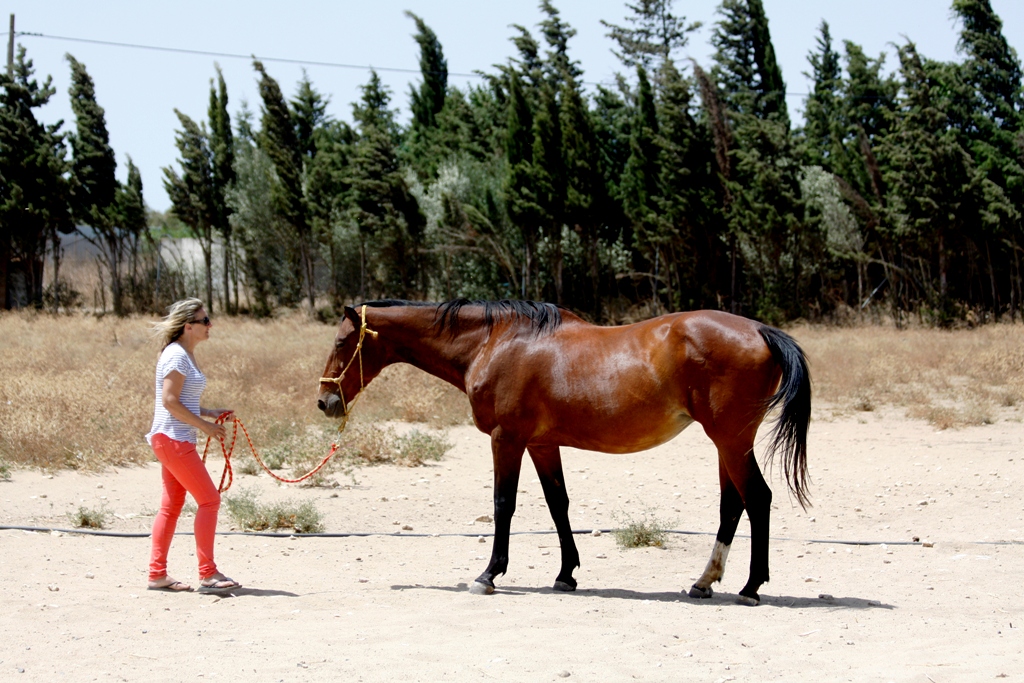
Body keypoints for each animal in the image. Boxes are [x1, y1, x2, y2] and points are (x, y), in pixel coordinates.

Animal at [317, 299, 811, 606]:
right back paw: (704, 581)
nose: (325, 402)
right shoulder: (541, 443)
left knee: (757, 499)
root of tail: (761, 331)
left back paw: (750, 587)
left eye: (341, 343)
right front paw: (566, 574)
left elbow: (503, 504)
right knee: (733, 506)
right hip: (727, 443)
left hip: (730, 440)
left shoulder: (506, 439)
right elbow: (559, 505)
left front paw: (489, 575)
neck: (493, 342)